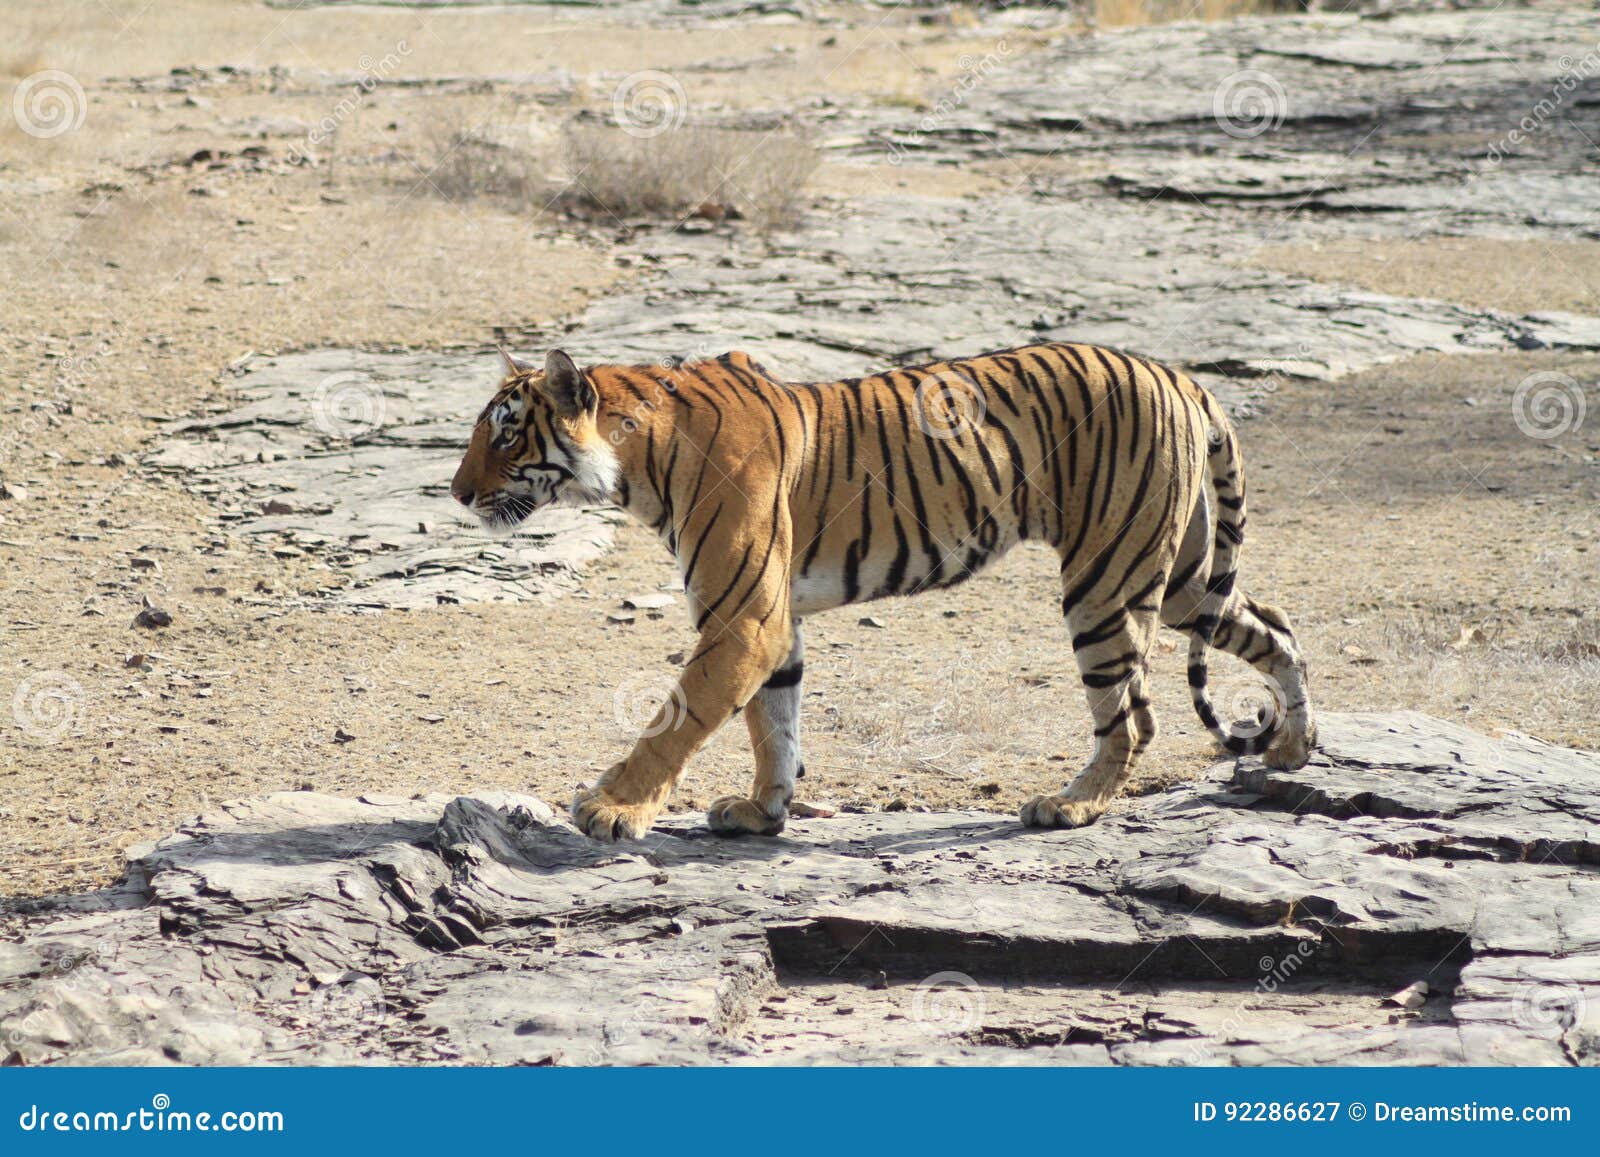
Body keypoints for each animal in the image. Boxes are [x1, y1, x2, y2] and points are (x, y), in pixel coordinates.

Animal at [450, 343, 1316, 842]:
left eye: (505, 433)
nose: (456, 493)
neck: (640, 461)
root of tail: (1183, 376)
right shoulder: (770, 621)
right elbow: (773, 723)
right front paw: (763, 812)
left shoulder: (744, 617)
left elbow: (679, 716)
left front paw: (610, 808)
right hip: (1179, 578)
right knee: (1274, 624)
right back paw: (1292, 747)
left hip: (1106, 580)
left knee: (1134, 715)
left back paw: (1070, 805)